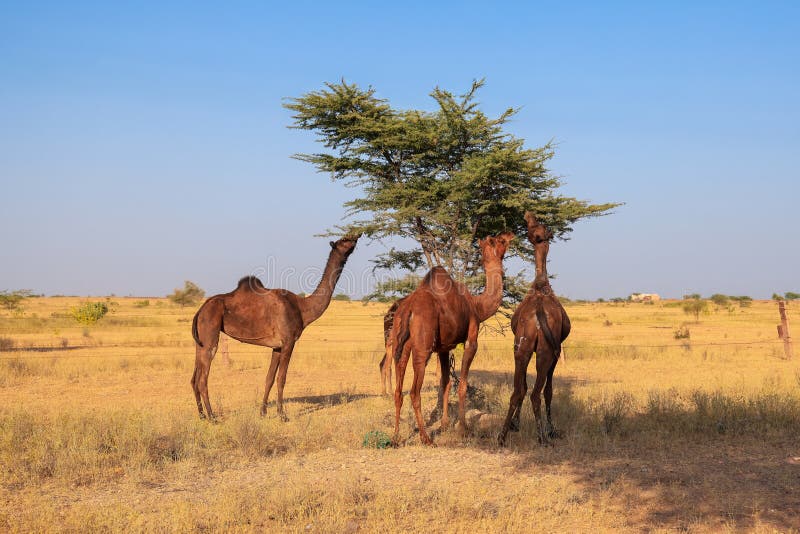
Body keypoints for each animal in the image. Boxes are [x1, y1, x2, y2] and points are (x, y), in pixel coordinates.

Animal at [190, 236, 359, 420]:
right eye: (344, 240)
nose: (356, 236)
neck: (303, 308)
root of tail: (200, 310)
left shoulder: (277, 346)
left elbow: (269, 378)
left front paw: (263, 412)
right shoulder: (288, 342)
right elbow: (281, 378)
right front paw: (282, 414)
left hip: (201, 341)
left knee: (194, 378)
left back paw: (201, 415)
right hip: (210, 333)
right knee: (202, 379)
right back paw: (212, 417)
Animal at [387, 232, 514, 445]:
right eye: (501, 240)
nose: (511, 234)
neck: (478, 306)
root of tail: (408, 309)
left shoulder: (444, 347)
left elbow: (445, 382)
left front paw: (445, 424)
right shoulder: (472, 338)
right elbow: (461, 385)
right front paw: (463, 429)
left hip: (400, 343)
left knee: (399, 389)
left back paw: (396, 437)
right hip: (423, 347)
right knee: (414, 391)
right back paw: (426, 438)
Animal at [498, 213, 570, 445]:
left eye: (535, 226)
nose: (528, 215)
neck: (540, 284)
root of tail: (538, 313)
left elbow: (522, 387)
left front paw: (516, 424)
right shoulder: (556, 352)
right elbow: (549, 391)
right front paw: (551, 429)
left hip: (522, 348)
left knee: (518, 391)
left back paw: (501, 436)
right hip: (545, 351)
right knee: (536, 393)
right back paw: (542, 437)